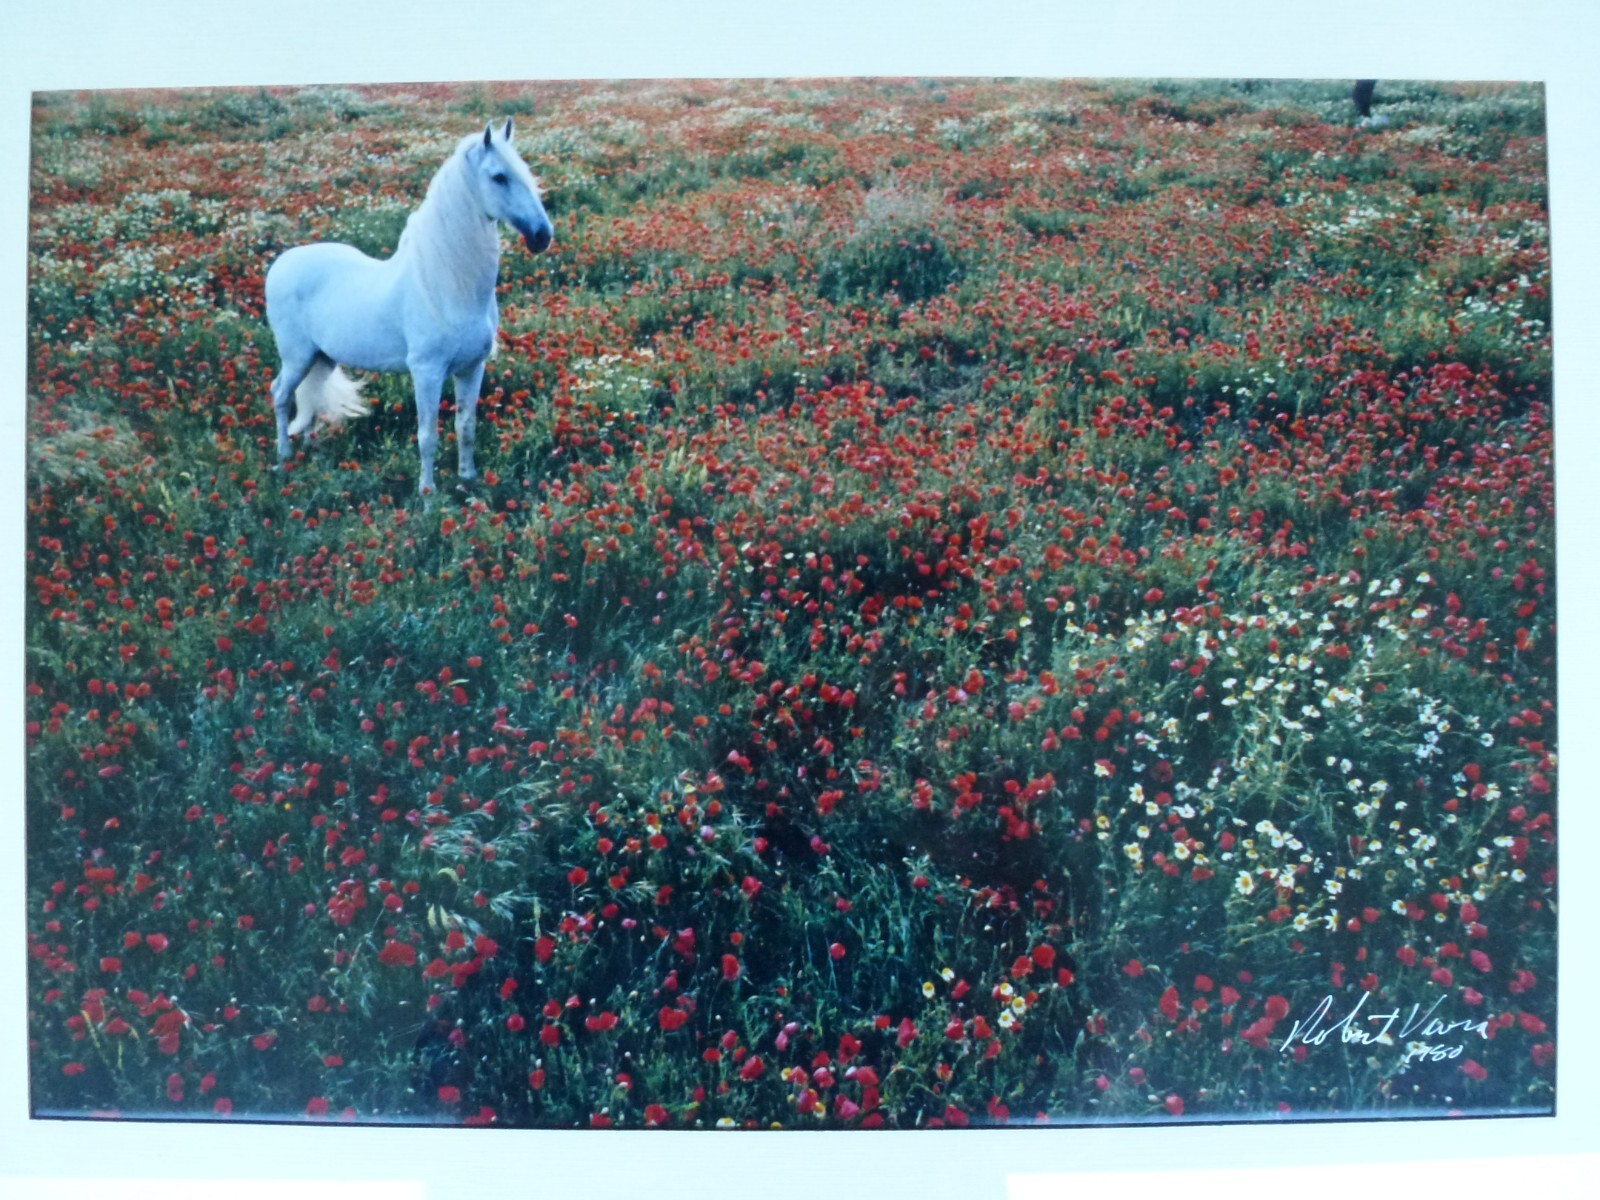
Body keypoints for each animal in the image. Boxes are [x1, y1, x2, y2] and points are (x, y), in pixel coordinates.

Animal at [264, 118, 552, 495]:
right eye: (499, 177)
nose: (542, 235)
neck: (449, 289)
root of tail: (280, 263)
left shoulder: (471, 368)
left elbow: (466, 426)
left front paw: (468, 479)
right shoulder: (426, 372)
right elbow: (428, 436)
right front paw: (428, 493)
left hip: (321, 358)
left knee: (310, 396)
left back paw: (313, 449)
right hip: (297, 357)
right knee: (281, 394)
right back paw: (284, 456)